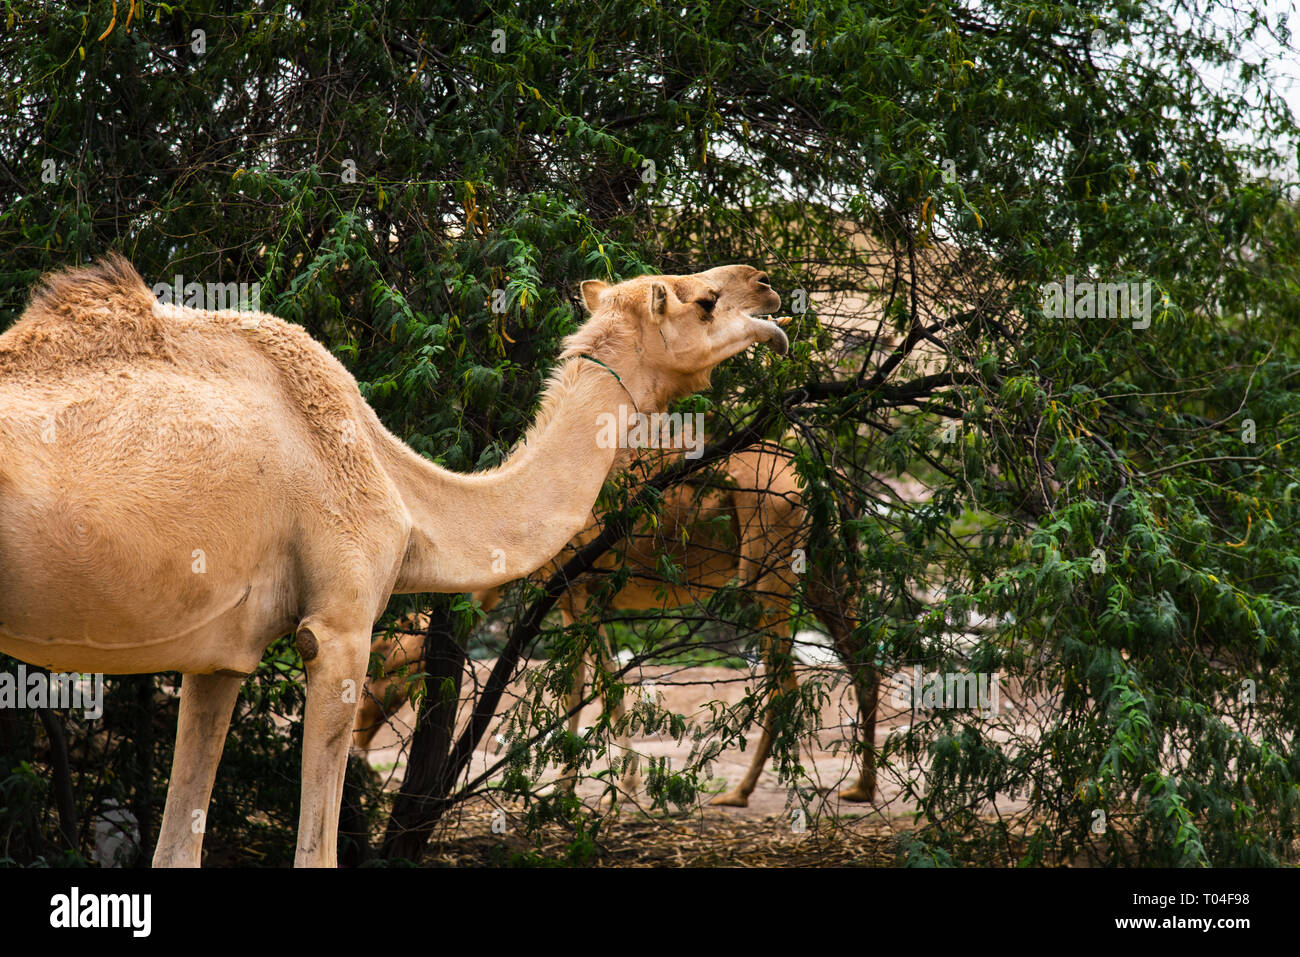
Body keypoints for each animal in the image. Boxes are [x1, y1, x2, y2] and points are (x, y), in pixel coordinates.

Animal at [0, 254, 787, 866]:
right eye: (702, 299)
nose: (768, 289)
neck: (403, 495)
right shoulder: (341, 628)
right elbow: (317, 849)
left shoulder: (220, 657)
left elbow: (177, 846)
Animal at [354, 447, 879, 808]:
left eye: (375, 665)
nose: (358, 739)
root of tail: (825, 479)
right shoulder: (576, 598)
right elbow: (584, 682)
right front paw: (581, 788)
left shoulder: (577, 590)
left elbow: (599, 682)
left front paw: (609, 789)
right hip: (821, 573)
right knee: (861, 661)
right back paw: (859, 787)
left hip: (771, 575)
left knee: (786, 682)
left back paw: (745, 793)